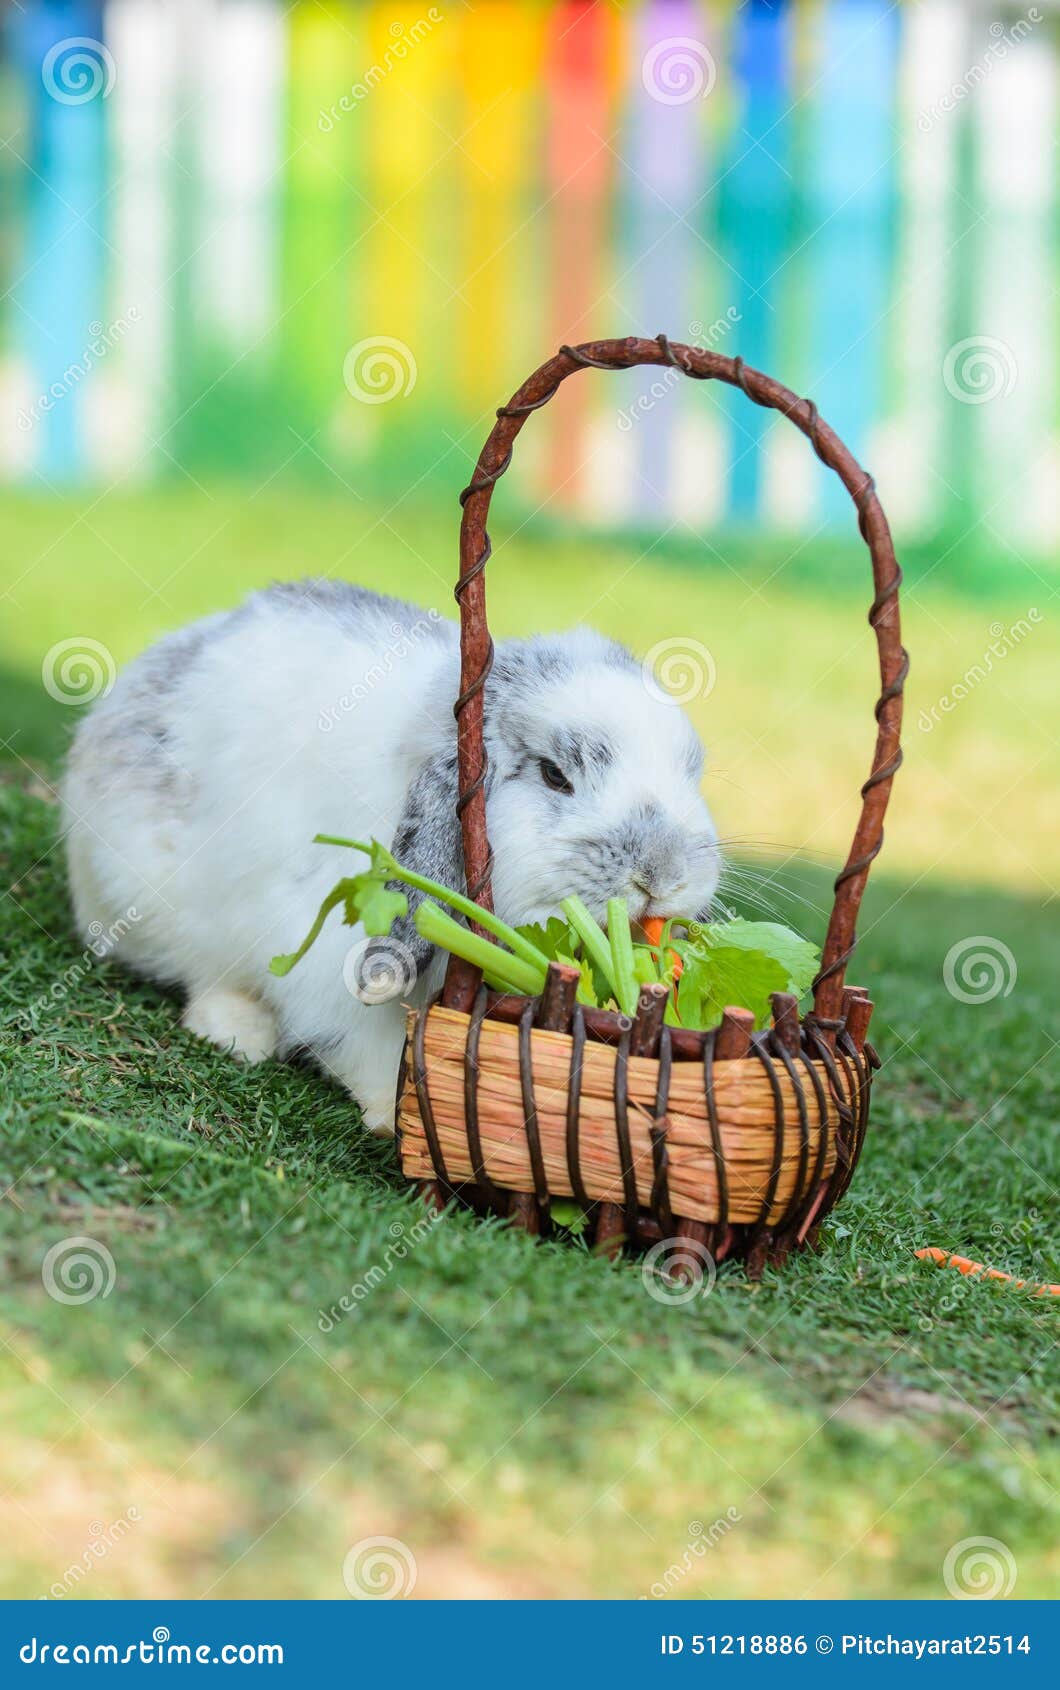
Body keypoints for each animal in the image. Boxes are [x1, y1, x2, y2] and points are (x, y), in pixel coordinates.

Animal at [62, 580, 722, 1132]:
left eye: (691, 771)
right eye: (555, 775)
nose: (662, 876)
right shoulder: (334, 967)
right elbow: (371, 1043)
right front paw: (398, 1119)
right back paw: (238, 1032)